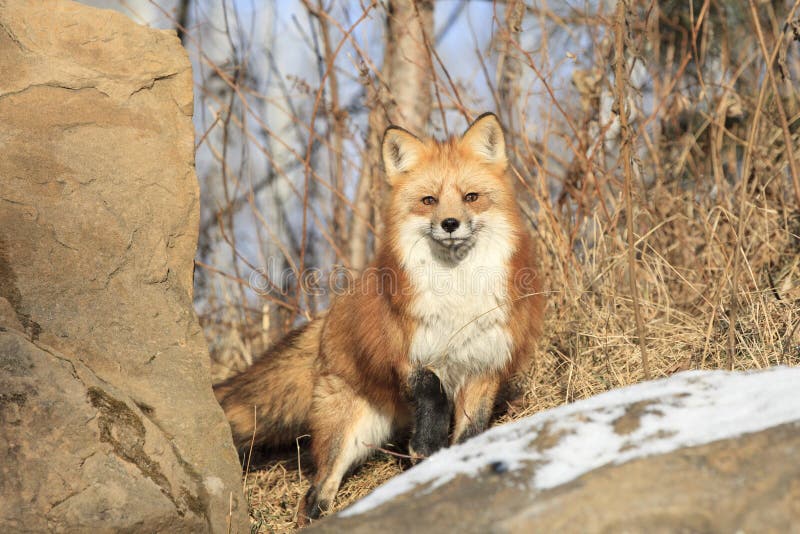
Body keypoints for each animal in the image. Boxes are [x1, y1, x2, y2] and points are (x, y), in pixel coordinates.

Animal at [213, 112, 545, 525]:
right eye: (428, 201)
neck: (457, 292)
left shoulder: (484, 363)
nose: (450, 223)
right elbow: (433, 394)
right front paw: (427, 447)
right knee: (316, 492)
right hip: (345, 437)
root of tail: (326, 324)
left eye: (471, 197)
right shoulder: (406, 353)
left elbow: (471, 431)